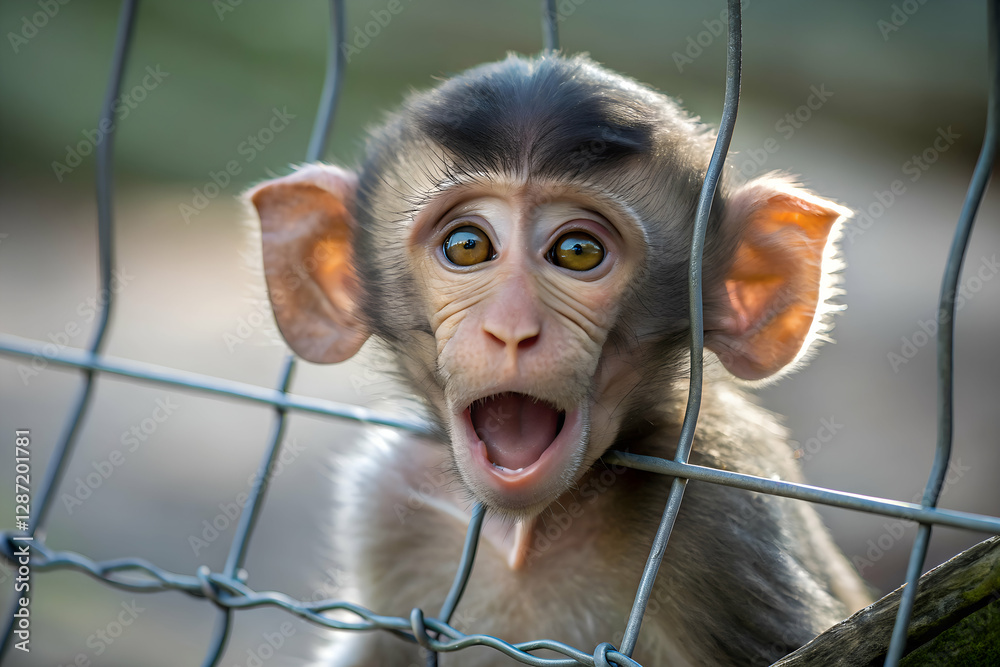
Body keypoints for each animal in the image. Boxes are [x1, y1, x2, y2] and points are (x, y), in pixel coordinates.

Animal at [247, 53, 872, 666]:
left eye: (577, 252)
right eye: (467, 245)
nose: (512, 329)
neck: (525, 531)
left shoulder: (724, 515)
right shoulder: (388, 498)